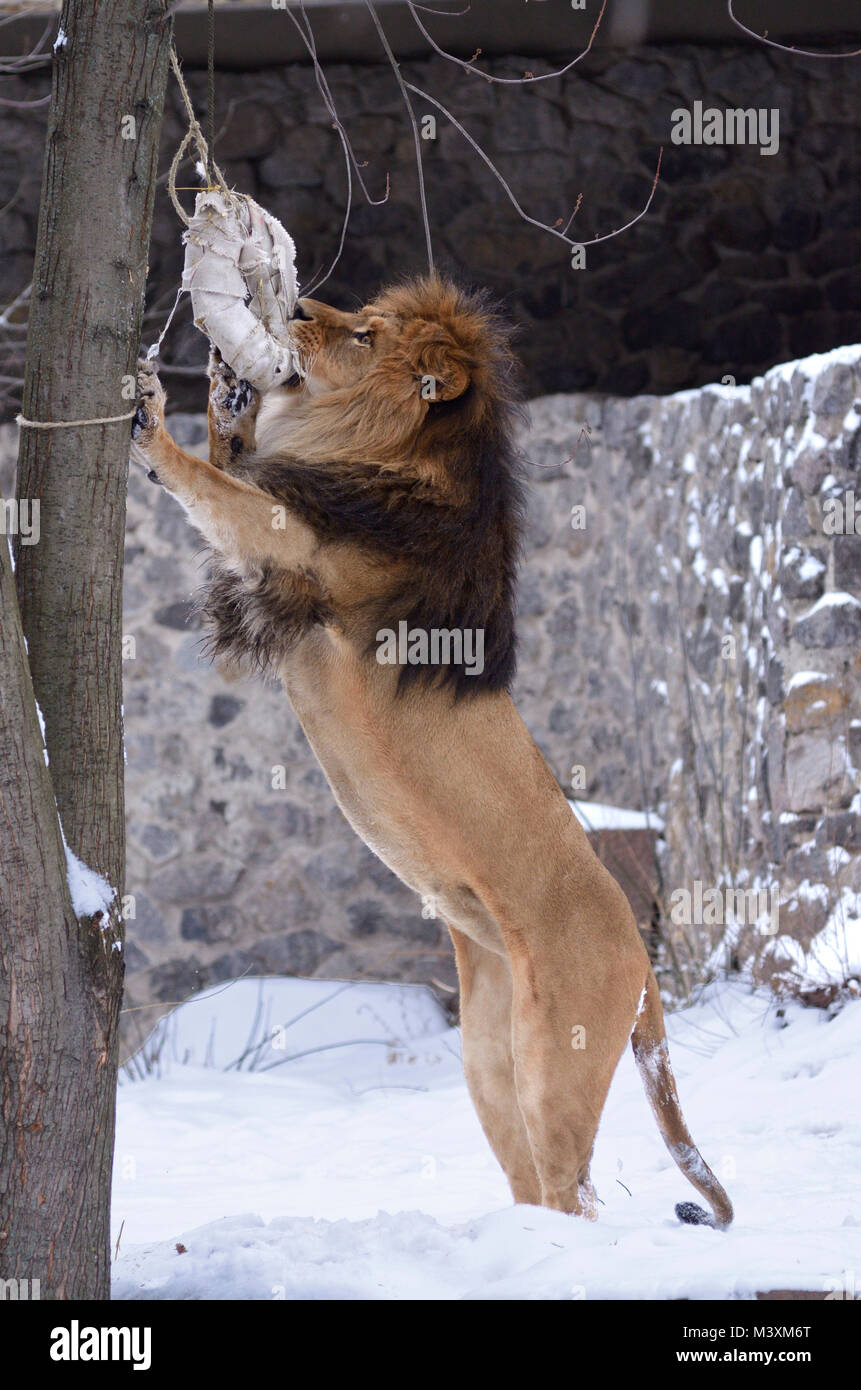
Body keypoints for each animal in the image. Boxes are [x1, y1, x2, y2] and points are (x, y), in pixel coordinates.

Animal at [131, 274, 733, 1228]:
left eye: (363, 334)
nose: (294, 309)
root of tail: (644, 961)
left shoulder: (294, 547)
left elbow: (209, 483)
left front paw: (153, 418)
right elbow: (230, 457)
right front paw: (226, 393)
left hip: (555, 1060)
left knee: (575, 1192)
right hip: (487, 1057)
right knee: (531, 1178)